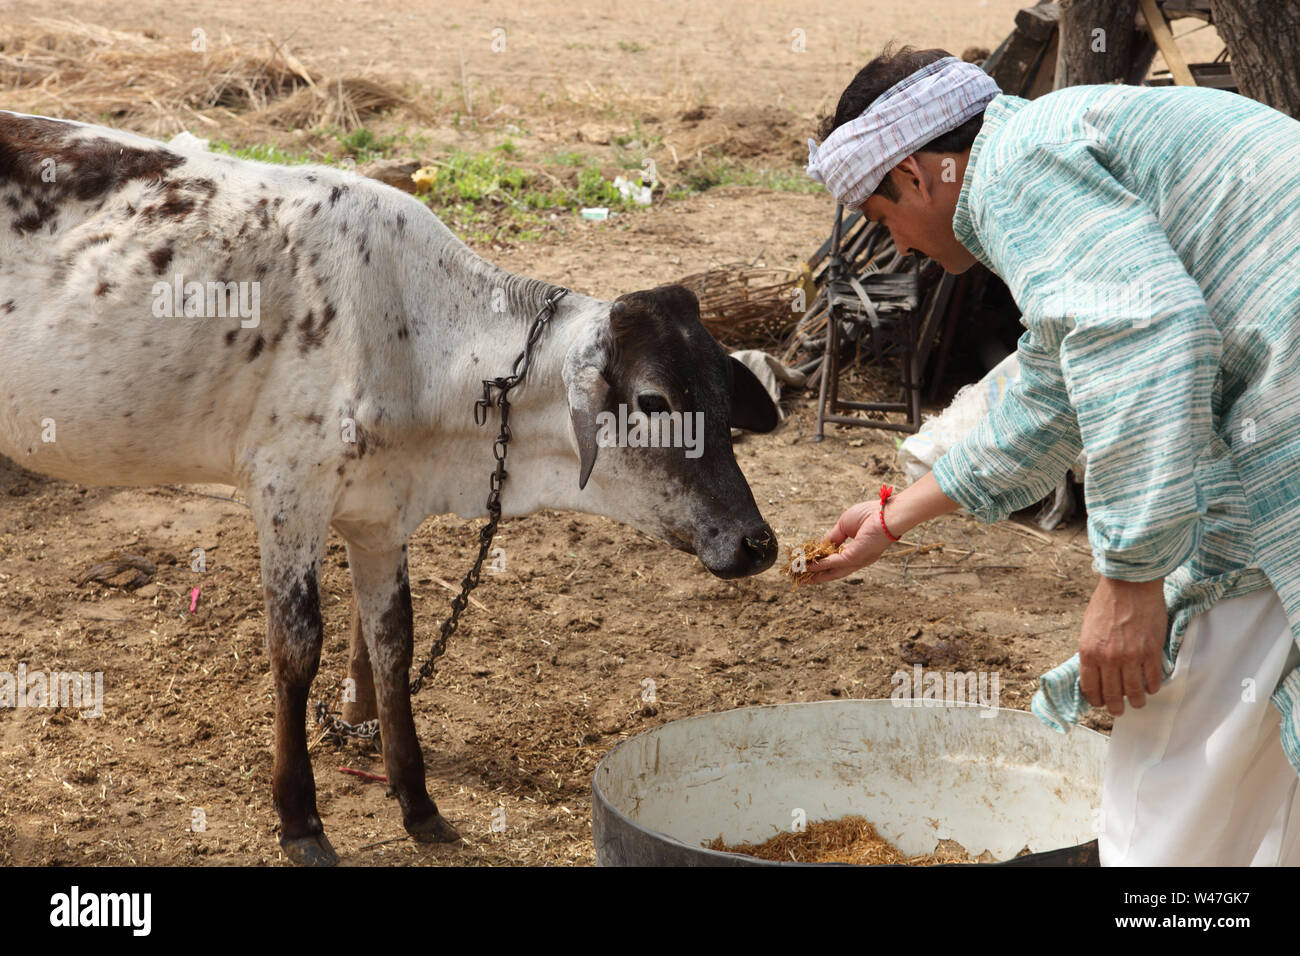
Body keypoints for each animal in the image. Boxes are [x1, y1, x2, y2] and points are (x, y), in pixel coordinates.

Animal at [0, 110, 780, 865]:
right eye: (652, 401)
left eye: (721, 394)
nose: (757, 543)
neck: (417, 336)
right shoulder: (287, 492)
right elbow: (297, 651)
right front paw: (300, 819)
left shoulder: (379, 517)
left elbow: (391, 645)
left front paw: (419, 804)